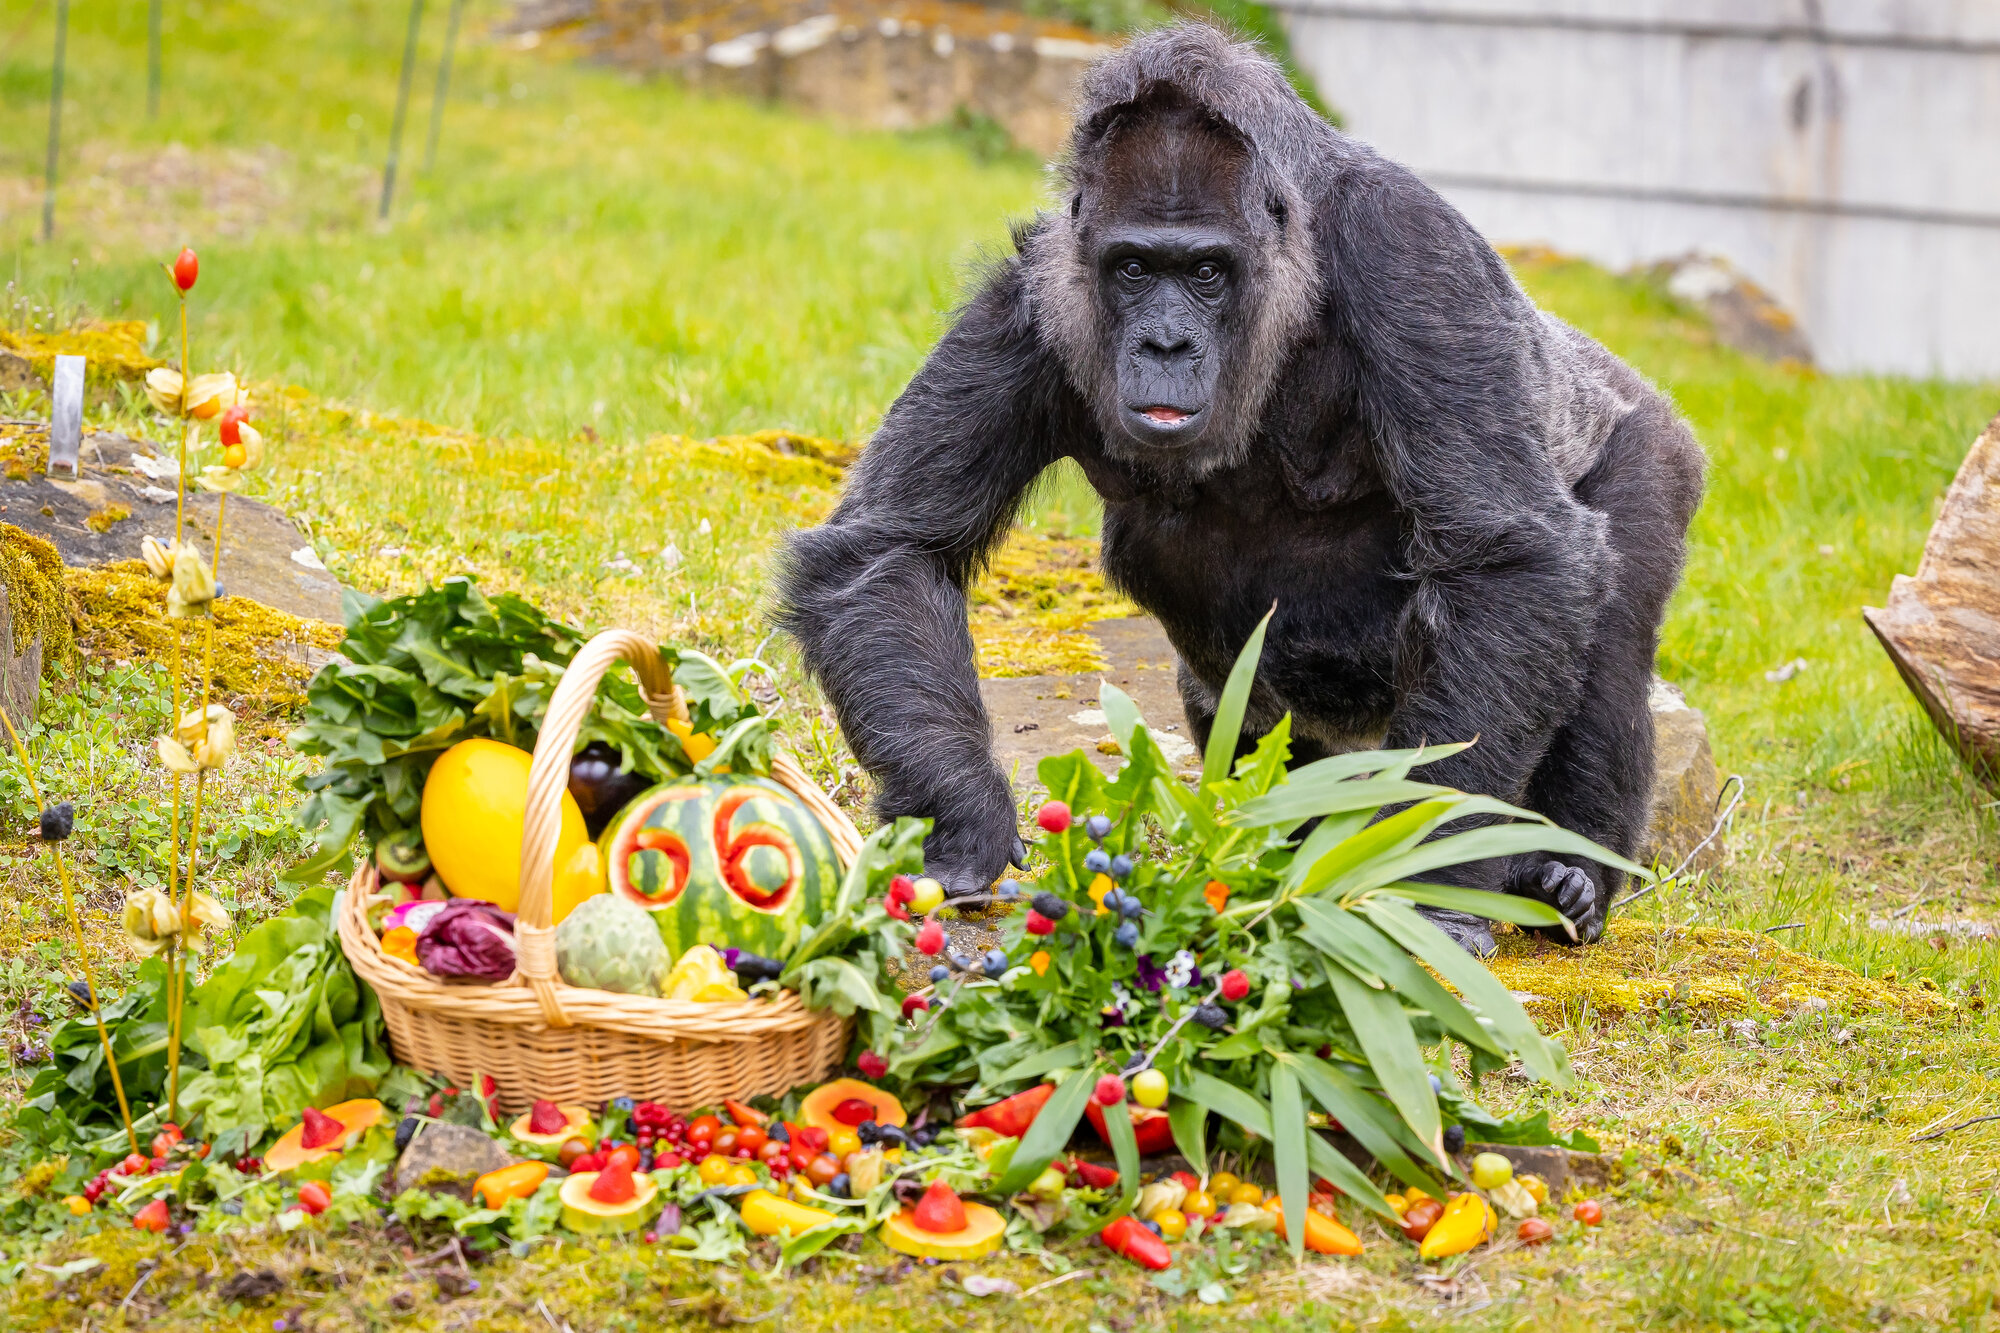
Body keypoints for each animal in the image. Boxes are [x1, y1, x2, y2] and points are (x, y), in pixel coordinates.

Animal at [777, 22, 1704, 953]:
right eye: (1134, 268)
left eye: (1206, 272)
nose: (1166, 344)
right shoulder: (1029, 292)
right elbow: (892, 550)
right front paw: (962, 817)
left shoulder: (1406, 250)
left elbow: (1507, 557)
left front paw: (1429, 887)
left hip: (1650, 440)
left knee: (1610, 642)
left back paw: (1563, 873)